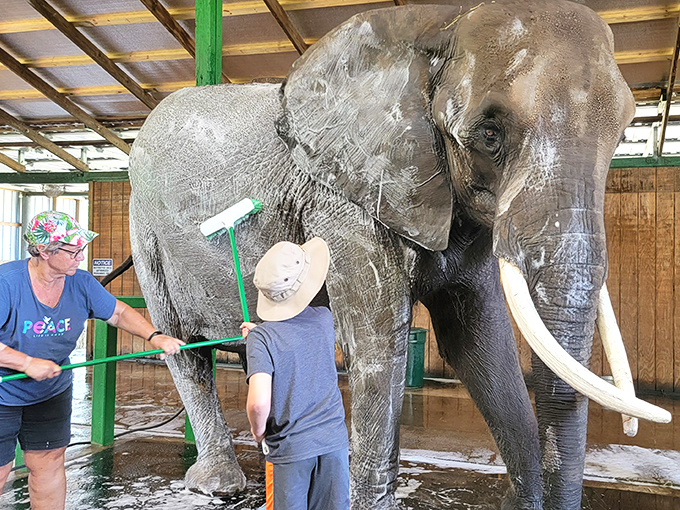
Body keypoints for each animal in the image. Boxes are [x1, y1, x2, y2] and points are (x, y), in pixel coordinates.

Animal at [127, 1, 671, 509]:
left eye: (623, 132)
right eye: (489, 135)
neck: (438, 24)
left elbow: (480, 341)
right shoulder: (343, 203)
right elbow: (377, 342)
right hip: (146, 229)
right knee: (183, 348)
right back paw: (218, 484)